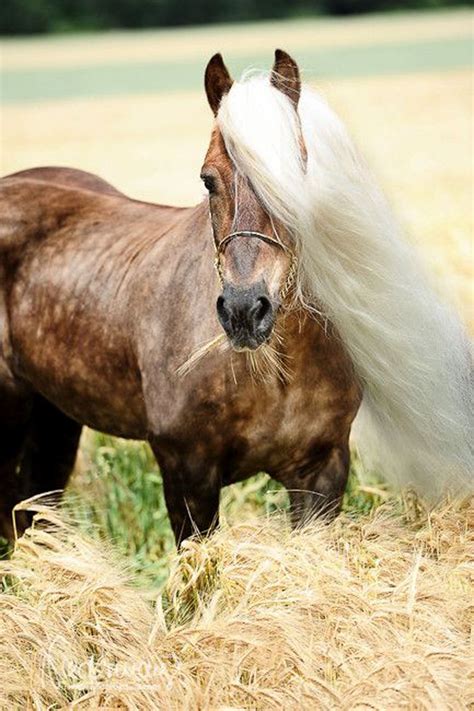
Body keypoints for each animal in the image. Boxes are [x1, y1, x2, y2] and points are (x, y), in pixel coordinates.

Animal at [0, 51, 471, 545]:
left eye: (297, 170)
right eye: (209, 179)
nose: (245, 310)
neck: (278, 370)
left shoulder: (321, 474)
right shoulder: (188, 475)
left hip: (54, 419)